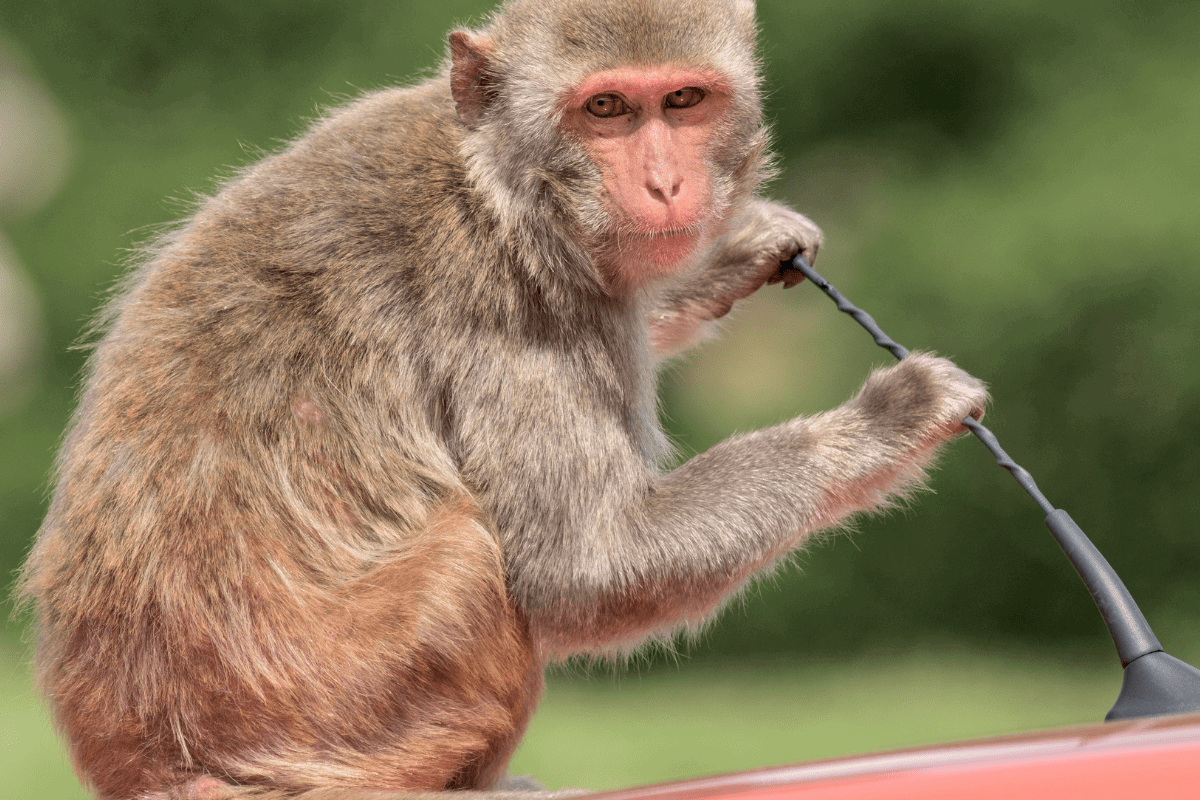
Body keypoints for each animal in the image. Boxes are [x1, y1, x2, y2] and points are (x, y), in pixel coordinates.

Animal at [16, 0, 988, 798]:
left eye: (684, 101)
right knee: (466, 552)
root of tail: (150, 765)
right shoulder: (514, 310)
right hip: (333, 715)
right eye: (606, 110)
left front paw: (737, 251)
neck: (501, 178)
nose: (667, 186)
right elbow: (587, 565)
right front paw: (886, 420)